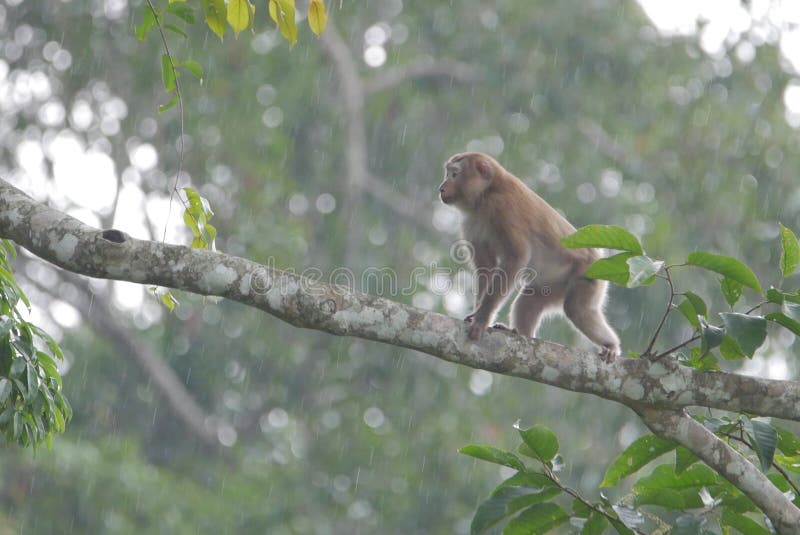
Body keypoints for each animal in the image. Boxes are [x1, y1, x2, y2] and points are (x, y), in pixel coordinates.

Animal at [438, 152, 621, 361]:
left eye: (454, 174)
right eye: (448, 173)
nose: (441, 188)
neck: (487, 194)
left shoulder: (503, 208)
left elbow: (516, 258)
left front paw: (482, 318)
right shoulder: (470, 222)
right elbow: (486, 268)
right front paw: (477, 314)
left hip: (590, 274)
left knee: (577, 309)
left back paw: (611, 345)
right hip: (555, 286)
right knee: (529, 301)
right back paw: (520, 334)